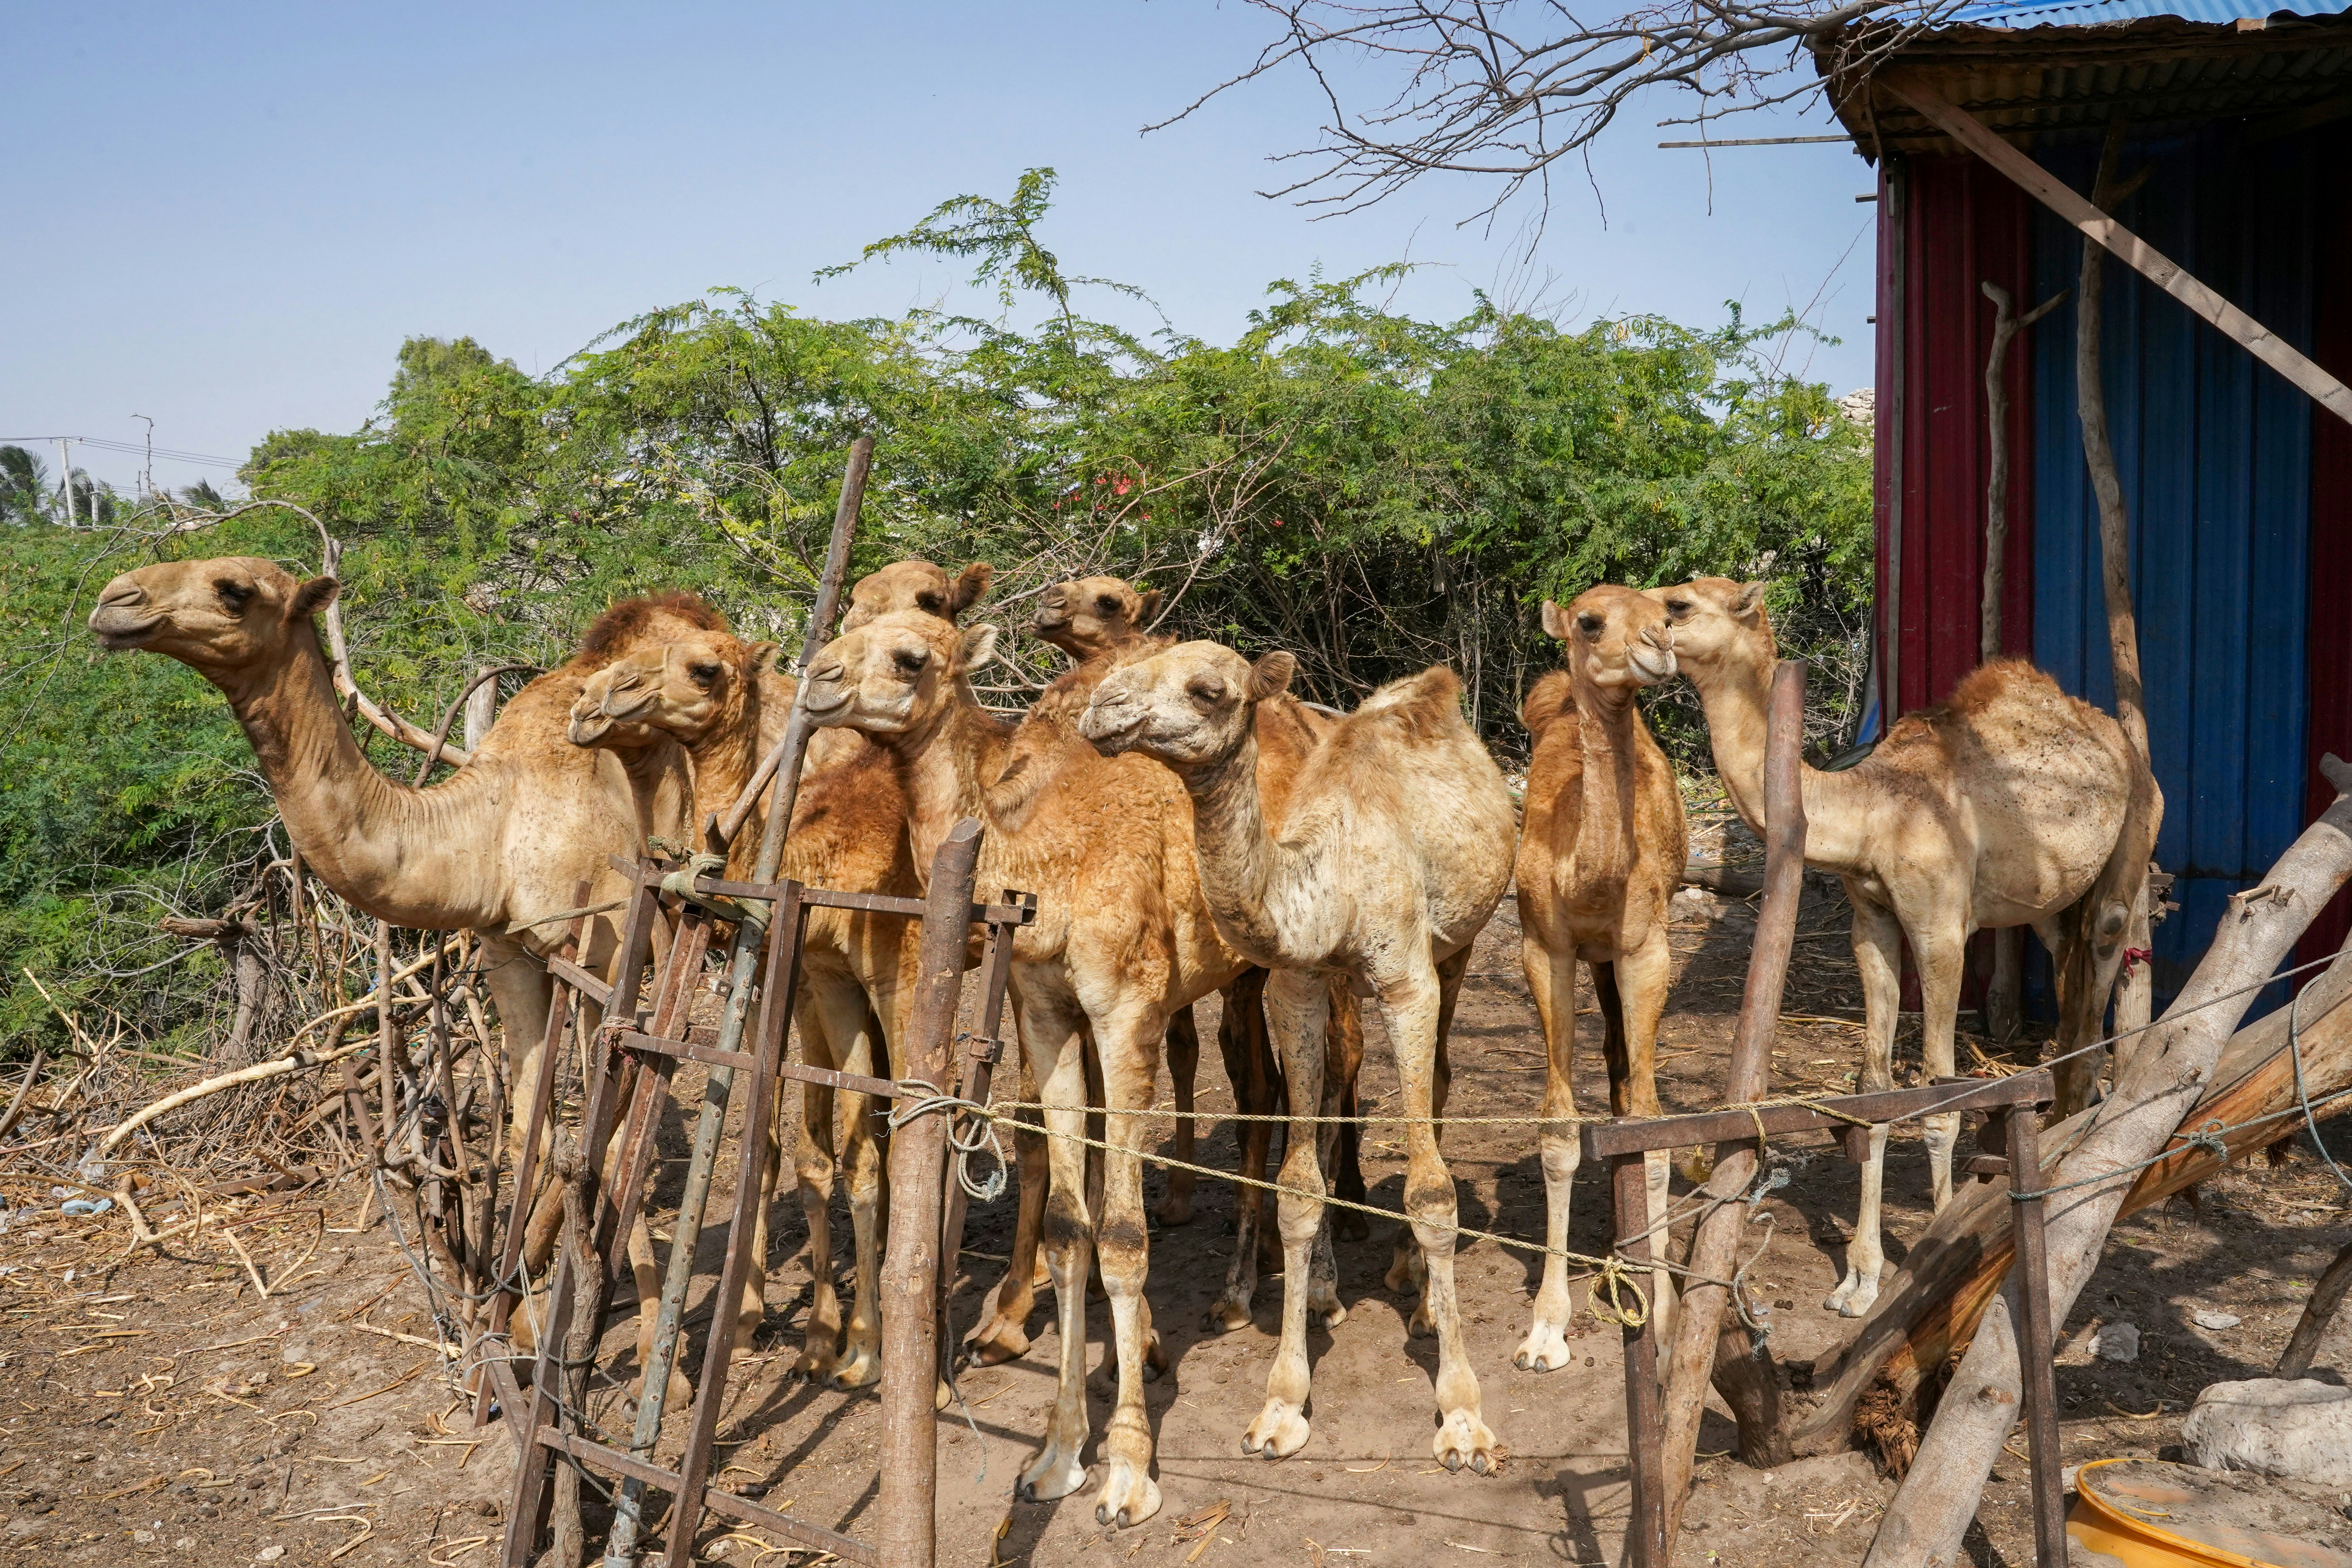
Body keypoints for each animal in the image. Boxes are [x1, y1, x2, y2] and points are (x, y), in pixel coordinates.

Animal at [807, 607, 1299, 1529]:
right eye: (851, 624)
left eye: (911, 655)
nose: (817, 678)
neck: (1045, 858)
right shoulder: (1042, 1010)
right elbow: (1075, 1228)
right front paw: (1058, 1456)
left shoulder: (1125, 1008)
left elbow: (1126, 1237)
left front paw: (1128, 1472)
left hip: (1267, 962)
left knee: (1271, 1091)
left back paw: (1257, 1294)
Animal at [1080, 644, 1517, 1474]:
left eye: (1208, 689)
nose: (1100, 708)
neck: (1327, 878)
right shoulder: (1298, 983)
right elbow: (1295, 1190)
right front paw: (1281, 1405)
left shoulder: (1406, 978)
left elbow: (1432, 1193)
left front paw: (1465, 1417)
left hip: (1460, 946)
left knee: (1442, 1085)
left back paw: (1420, 1296)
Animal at [1650, 577, 2160, 1315]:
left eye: (1680, 604)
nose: (1606, 623)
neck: (1873, 812)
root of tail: (2121, 743)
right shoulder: (1874, 922)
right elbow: (1875, 1091)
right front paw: (1859, 1282)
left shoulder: (1941, 925)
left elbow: (1940, 1097)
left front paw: (1933, 1255)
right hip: (2048, 898)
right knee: (2068, 972)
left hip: (2136, 834)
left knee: (2105, 944)